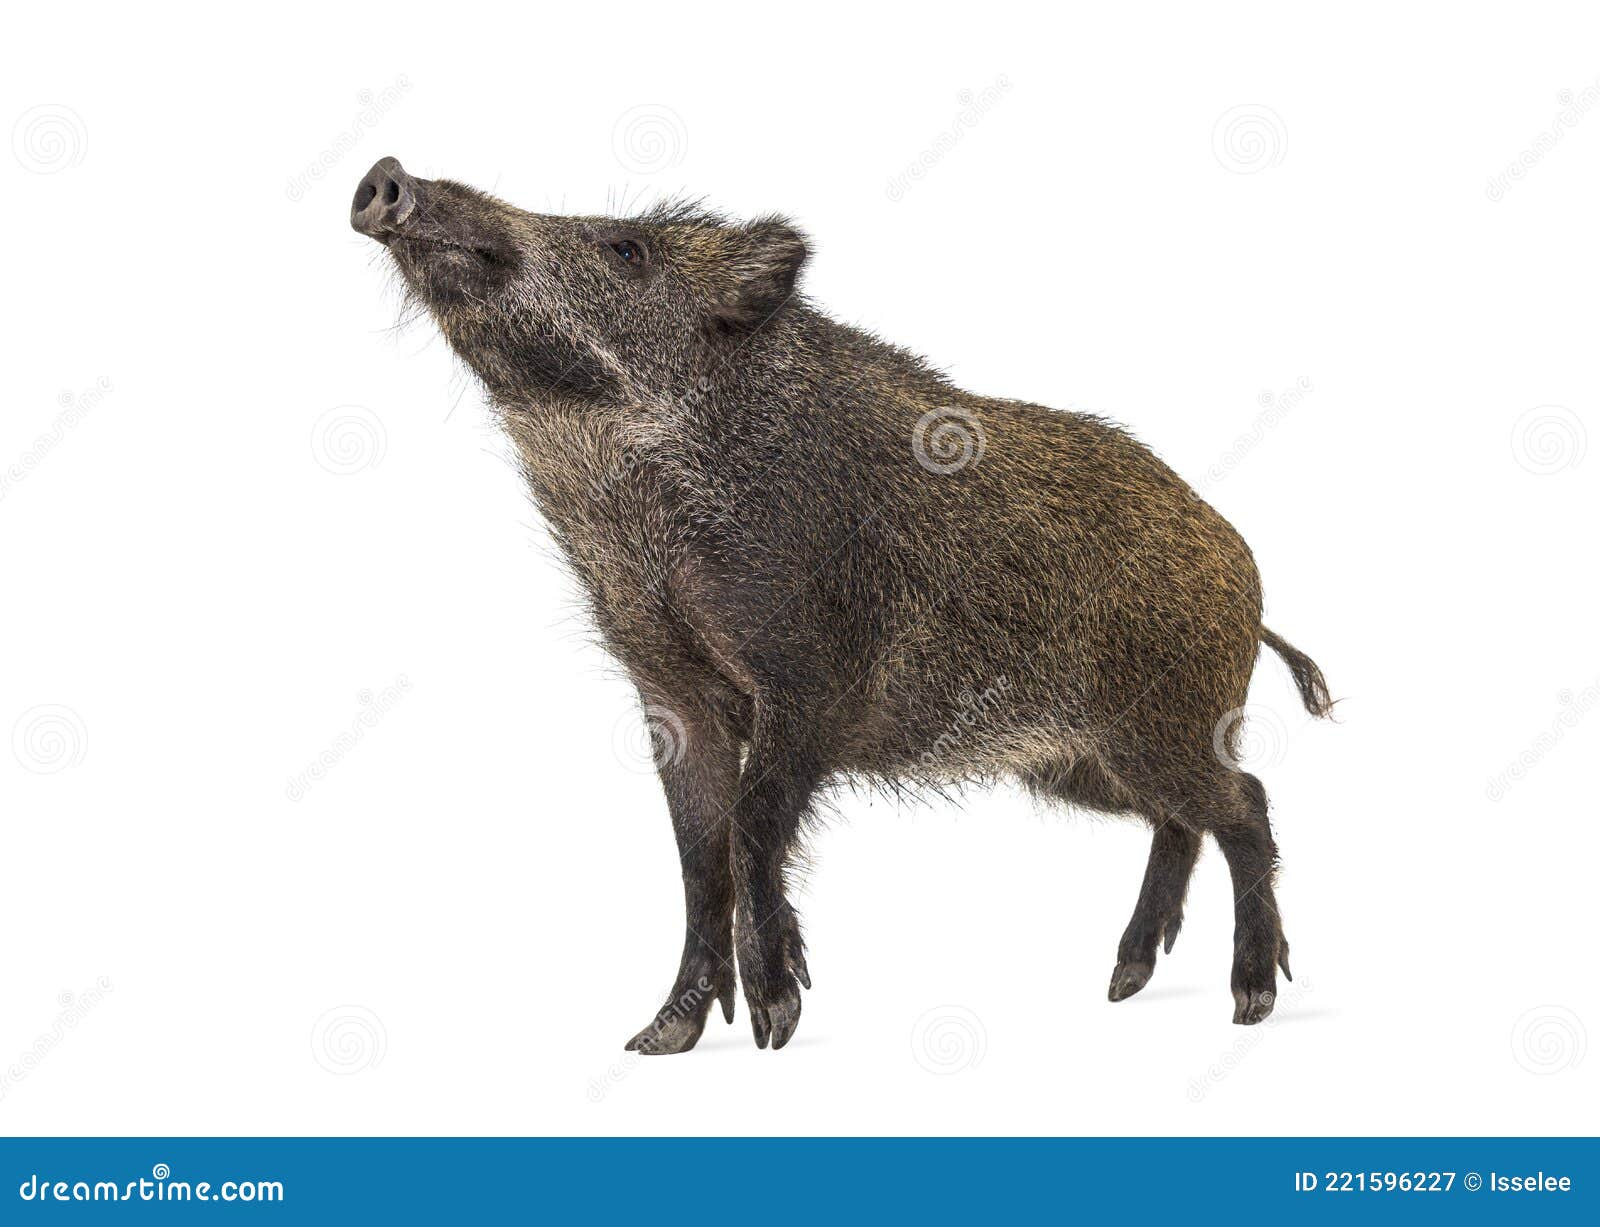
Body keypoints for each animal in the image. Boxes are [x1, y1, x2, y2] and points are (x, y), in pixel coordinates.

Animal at [350, 156, 1333, 1052]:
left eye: (626, 249)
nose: (388, 177)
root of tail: (1246, 577)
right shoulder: (669, 689)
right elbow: (697, 856)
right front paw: (660, 1037)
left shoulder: (810, 678)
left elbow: (751, 828)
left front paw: (775, 1018)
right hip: (1078, 761)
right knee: (1183, 821)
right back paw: (1124, 980)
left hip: (1157, 725)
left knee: (1244, 802)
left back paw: (1249, 999)